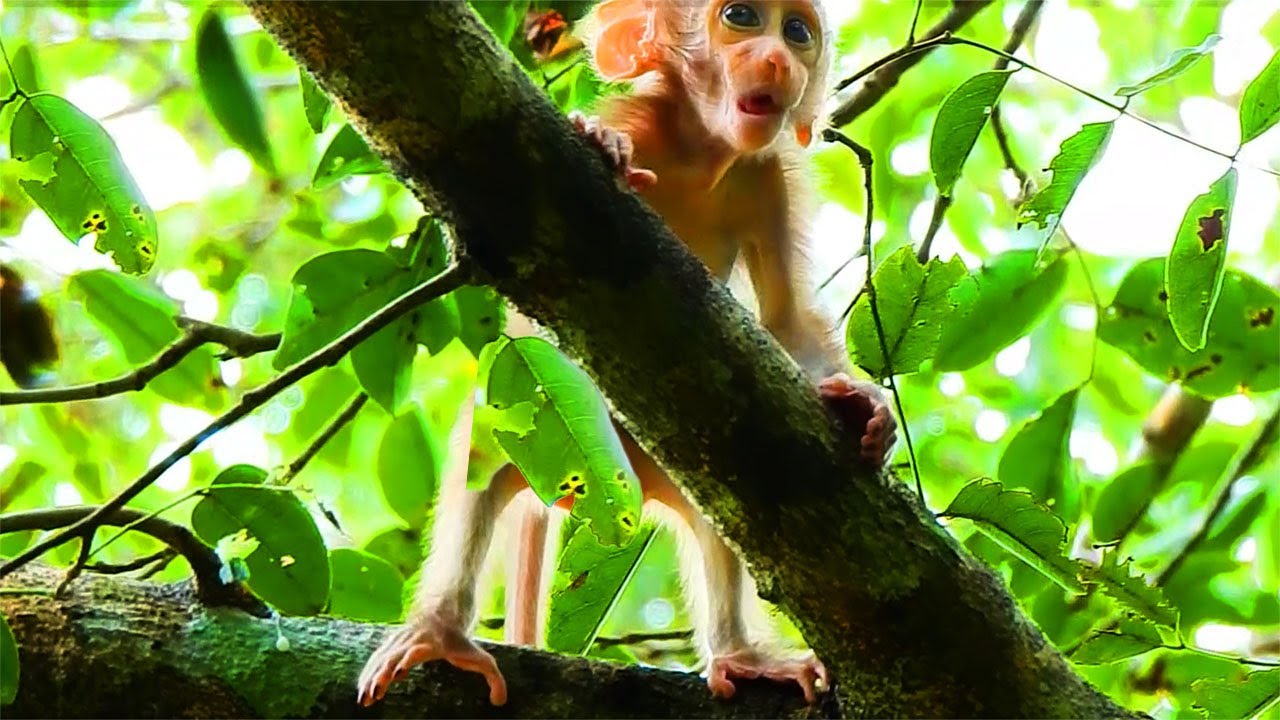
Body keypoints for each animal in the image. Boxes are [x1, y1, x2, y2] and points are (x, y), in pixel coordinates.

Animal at [358, 0, 896, 707]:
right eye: (742, 17)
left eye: (798, 32)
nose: (780, 60)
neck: (699, 152)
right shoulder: (637, 123)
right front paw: (600, 144)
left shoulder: (765, 177)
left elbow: (788, 319)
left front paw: (863, 406)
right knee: (483, 447)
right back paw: (440, 632)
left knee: (728, 511)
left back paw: (740, 654)